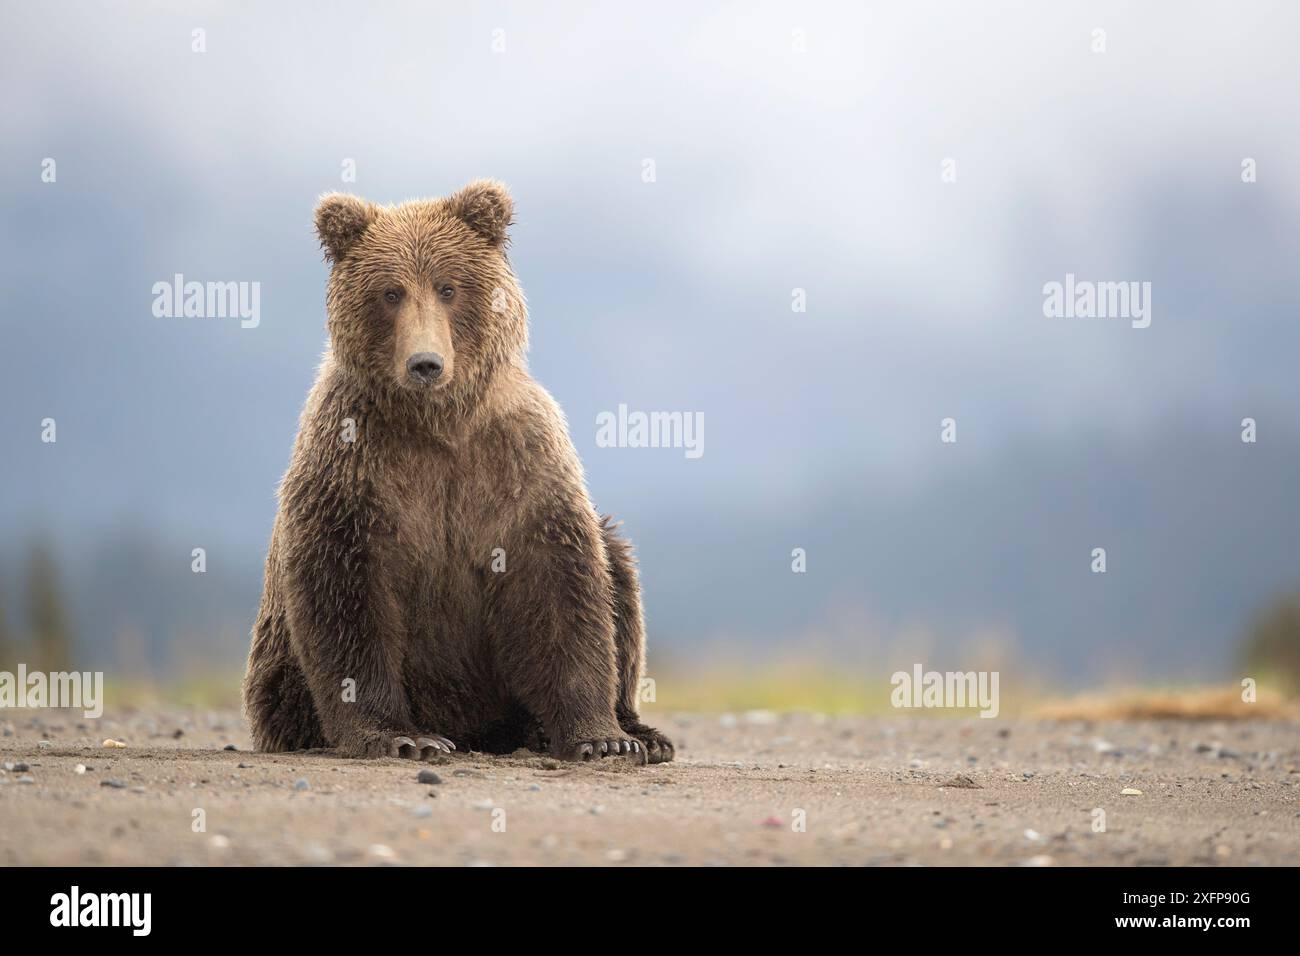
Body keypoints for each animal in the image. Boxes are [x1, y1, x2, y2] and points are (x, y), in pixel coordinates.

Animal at [242, 180, 673, 764]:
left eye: (448, 287)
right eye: (390, 292)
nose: (425, 363)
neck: (438, 422)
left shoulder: (518, 460)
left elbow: (563, 592)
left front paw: (601, 738)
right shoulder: (353, 466)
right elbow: (347, 597)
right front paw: (401, 737)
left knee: (619, 567)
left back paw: (638, 734)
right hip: (282, 684)